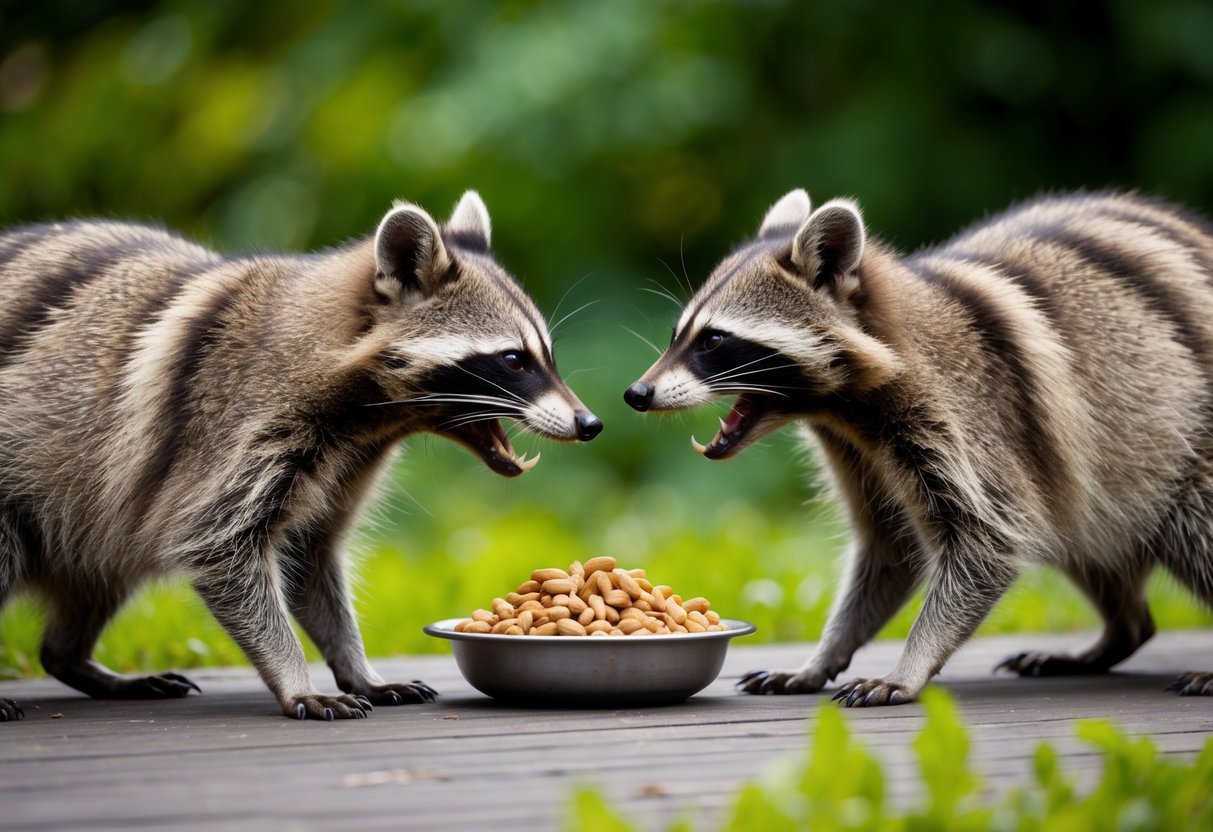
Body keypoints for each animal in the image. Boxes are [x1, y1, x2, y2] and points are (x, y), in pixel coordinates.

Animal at [0, 191, 602, 722]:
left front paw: (356, 666)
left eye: (545, 356)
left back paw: (71, 657)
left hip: (91, 514)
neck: (374, 415)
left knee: (96, 573)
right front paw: (293, 675)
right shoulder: (233, 431)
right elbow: (221, 548)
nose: (590, 423)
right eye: (514, 360)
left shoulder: (346, 463)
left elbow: (313, 557)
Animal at [625, 189, 1213, 706]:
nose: (636, 394)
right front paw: (825, 654)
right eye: (678, 334)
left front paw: (911, 662)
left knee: (1193, 528)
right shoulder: (858, 453)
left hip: (1179, 449)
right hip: (1098, 482)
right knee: (1094, 542)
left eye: (714, 341)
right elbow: (888, 549)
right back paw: (1120, 630)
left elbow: (985, 544)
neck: (841, 407)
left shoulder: (970, 419)